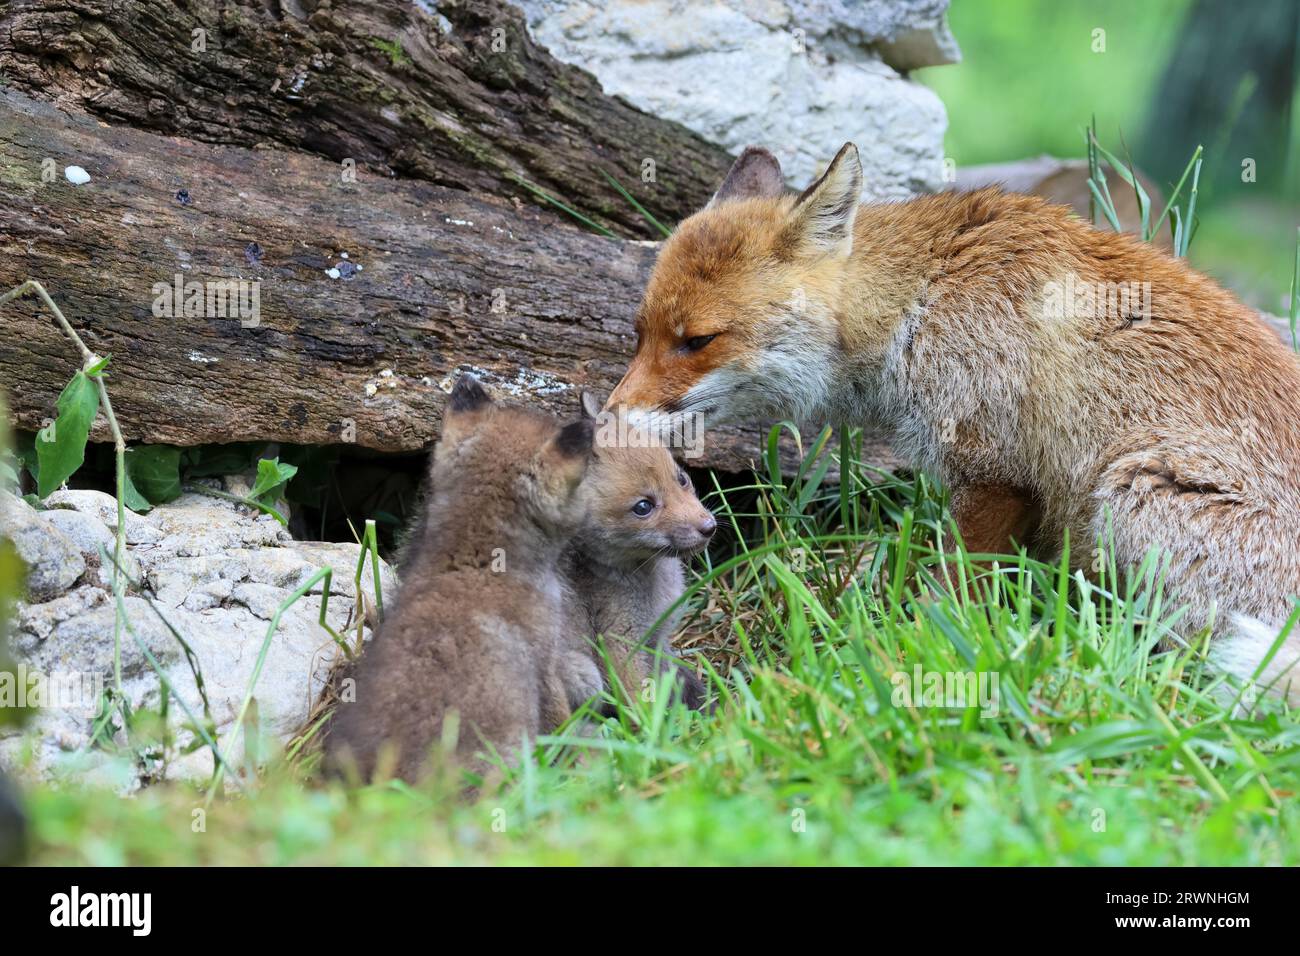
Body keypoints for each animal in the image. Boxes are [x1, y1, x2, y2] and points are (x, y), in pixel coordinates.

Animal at [562, 392, 715, 712]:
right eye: (643, 507)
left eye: (682, 479)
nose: (709, 527)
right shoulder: (622, 642)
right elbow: (642, 703)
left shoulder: (659, 642)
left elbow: (684, 683)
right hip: (582, 673)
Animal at [608, 142, 1300, 706]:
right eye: (639, 335)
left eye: (697, 341)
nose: (610, 420)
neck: (923, 300)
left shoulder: (996, 474)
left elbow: (948, 599)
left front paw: (908, 657)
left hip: (1132, 492)